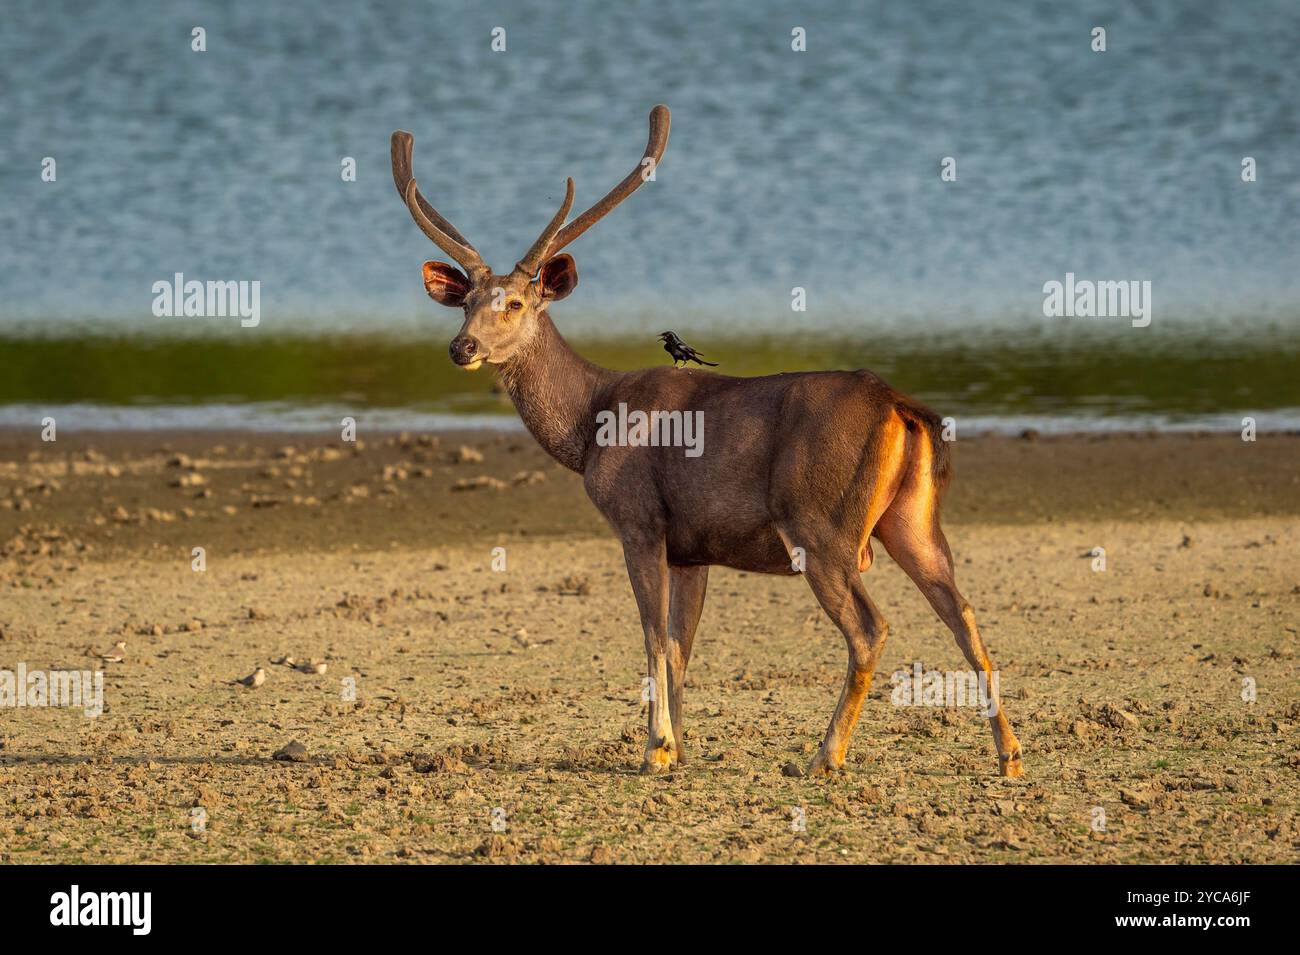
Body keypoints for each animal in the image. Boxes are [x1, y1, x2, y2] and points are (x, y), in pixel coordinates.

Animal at [390, 105, 1025, 779]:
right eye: (465, 303)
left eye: (513, 303)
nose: (462, 347)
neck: (590, 426)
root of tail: (899, 406)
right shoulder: (692, 548)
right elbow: (680, 643)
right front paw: (681, 745)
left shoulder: (639, 519)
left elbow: (650, 635)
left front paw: (654, 749)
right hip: (913, 518)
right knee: (961, 609)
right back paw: (1009, 755)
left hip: (820, 524)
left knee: (871, 627)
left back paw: (824, 755)